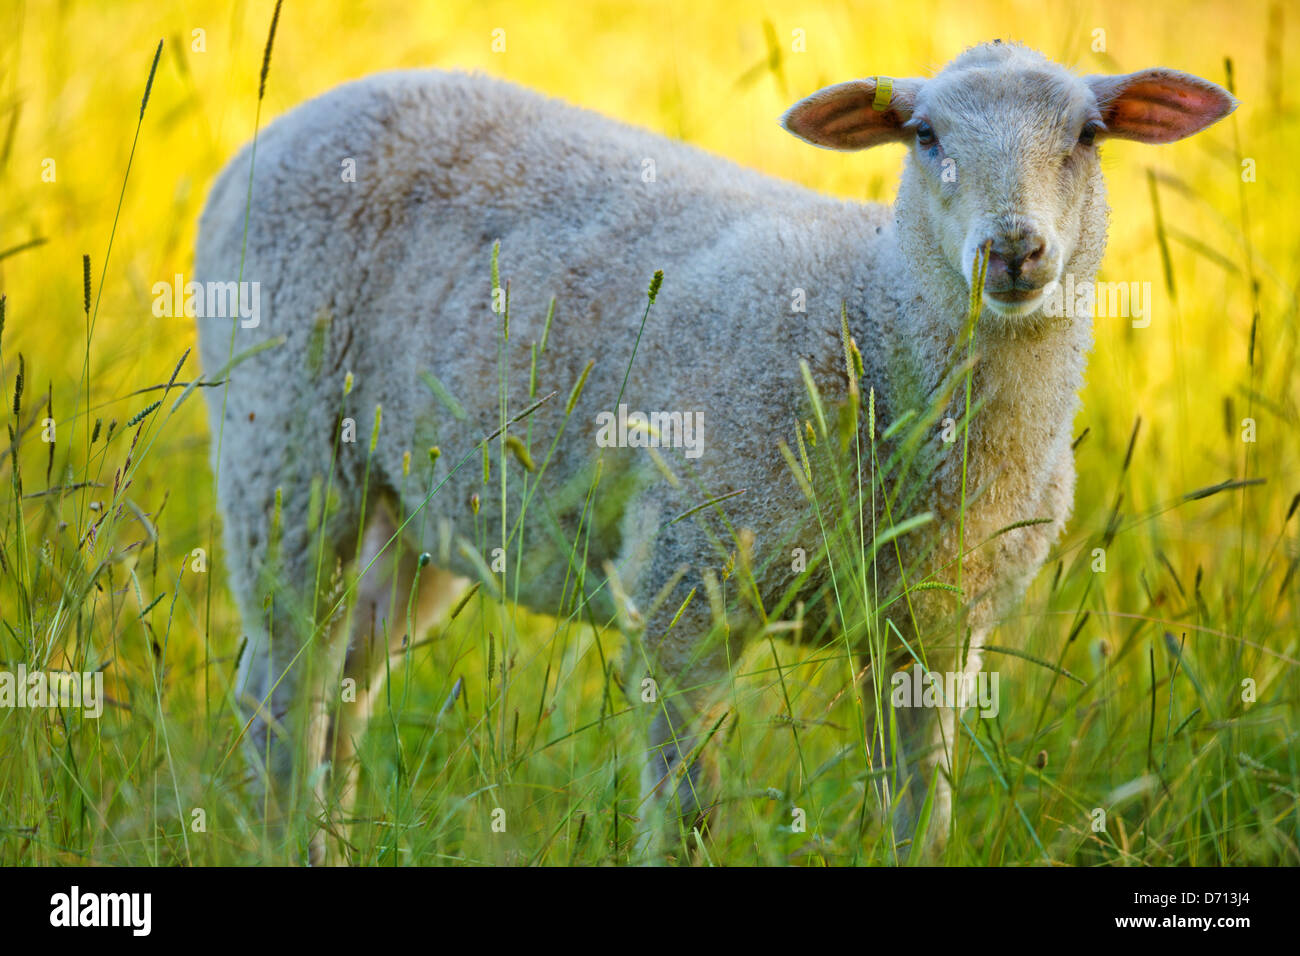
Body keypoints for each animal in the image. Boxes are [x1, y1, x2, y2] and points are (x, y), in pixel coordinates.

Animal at [194, 40, 1236, 863]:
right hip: (280, 445)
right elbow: (689, 813)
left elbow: (917, 819)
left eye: (1088, 135)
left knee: (346, 688)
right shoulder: (681, 586)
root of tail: (277, 128)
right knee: (281, 693)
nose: (1013, 250)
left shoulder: (936, 624)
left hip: (416, 503)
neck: (870, 322)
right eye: (925, 136)